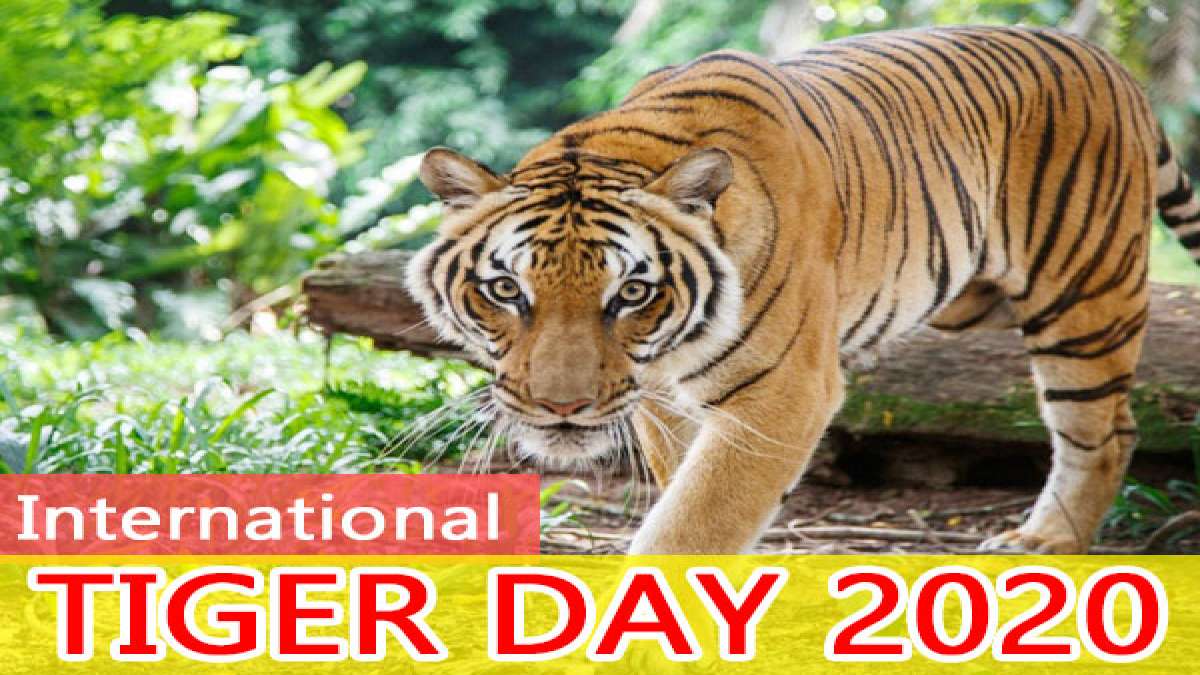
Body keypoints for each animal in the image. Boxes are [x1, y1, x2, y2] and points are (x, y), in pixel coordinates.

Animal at [406, 24, 1200, 554]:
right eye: (505, 289)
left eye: (629, 294)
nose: (560, 408)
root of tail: (1108, 61)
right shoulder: (660, 399)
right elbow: (689, 491)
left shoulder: (784, 393)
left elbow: (692, 522)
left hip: (1083, 298)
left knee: (1104, 430)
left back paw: (1046, 543)